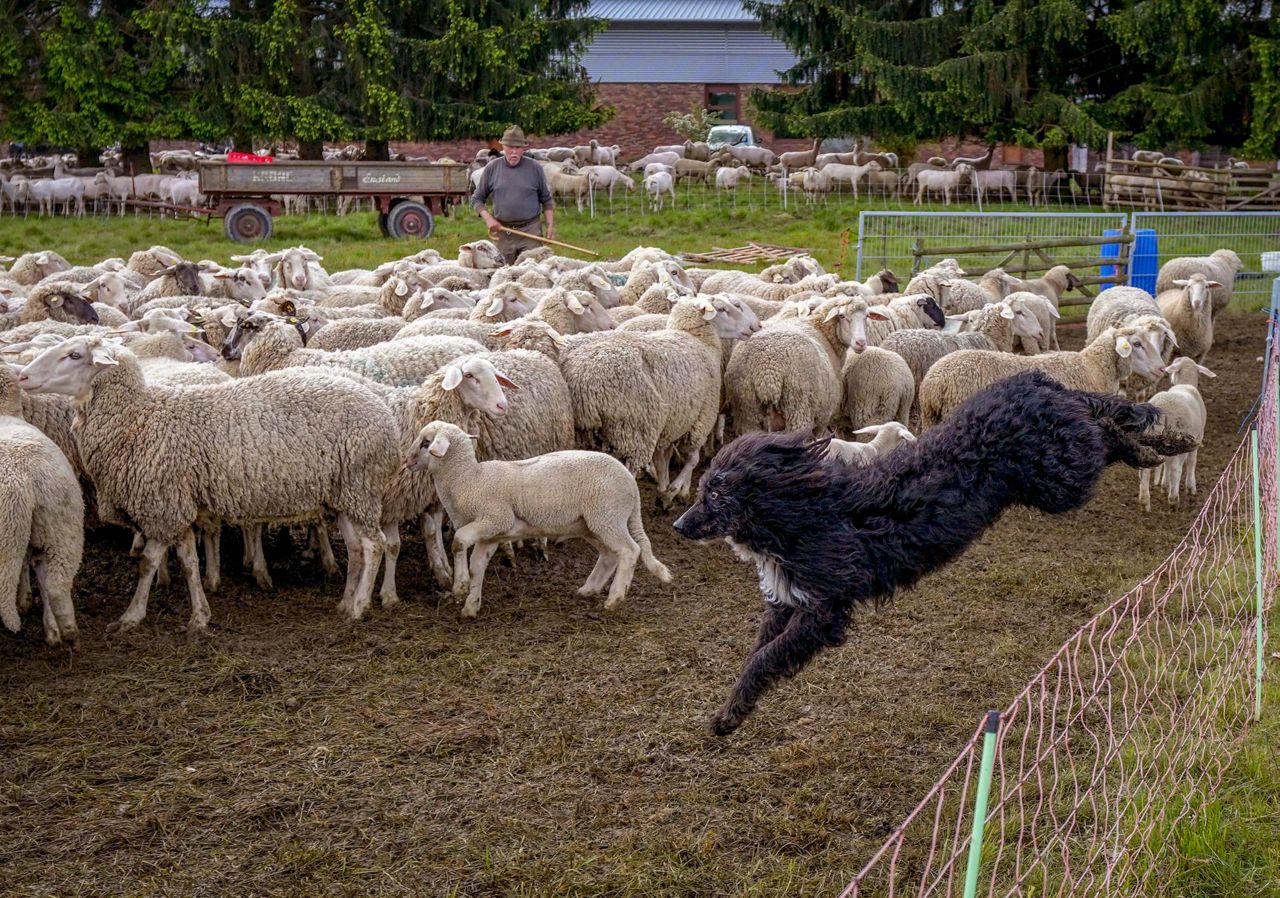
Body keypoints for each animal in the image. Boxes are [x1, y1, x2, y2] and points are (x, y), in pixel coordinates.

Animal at [19, 335, 399, 631]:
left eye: (74, 355)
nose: (22, 375)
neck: (137, 418)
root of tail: (383, 412)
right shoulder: (177, 503)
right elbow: (188, 560)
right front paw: (198, 615)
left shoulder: (164, 504)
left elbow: (148, 562)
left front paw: (132, 616)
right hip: (345, 494)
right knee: (356, 549)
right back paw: (345, 603)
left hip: (361, 484)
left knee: (375, 545)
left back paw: (360, 607)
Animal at [406, 421, 671, 617]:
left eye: (426, 443)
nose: (407, 460)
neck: (468, 479)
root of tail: (630, 481)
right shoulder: (490, 535)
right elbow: (477, 566)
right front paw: (471, 605)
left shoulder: (495, 518)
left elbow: (459, 541)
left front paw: (459, 586)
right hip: (593, 524)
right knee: (609, 555)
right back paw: (588, 589)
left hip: (607, 517)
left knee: (629, 551)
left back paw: (614, 598)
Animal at [671, 371, 1196, 735]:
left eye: (716, 492)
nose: (679, 525)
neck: (804, 509)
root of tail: (1035, 380)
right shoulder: (786, 603)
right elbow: (758, 657)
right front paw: (732, 711)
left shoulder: (824, 609)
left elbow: (766, 658)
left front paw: (729, 714)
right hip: (1059, 466)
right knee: (1104, 419)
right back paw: (1167, 441)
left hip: (1063, 476)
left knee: (1108, 429)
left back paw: (1164, 444)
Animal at [725, 294, 874, 436]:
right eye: (842, 316)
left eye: (866, 316)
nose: (861, 343)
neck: (819, 329)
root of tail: (768, 371)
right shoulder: (823, 417)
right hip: (798, 406)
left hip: (747, 409)